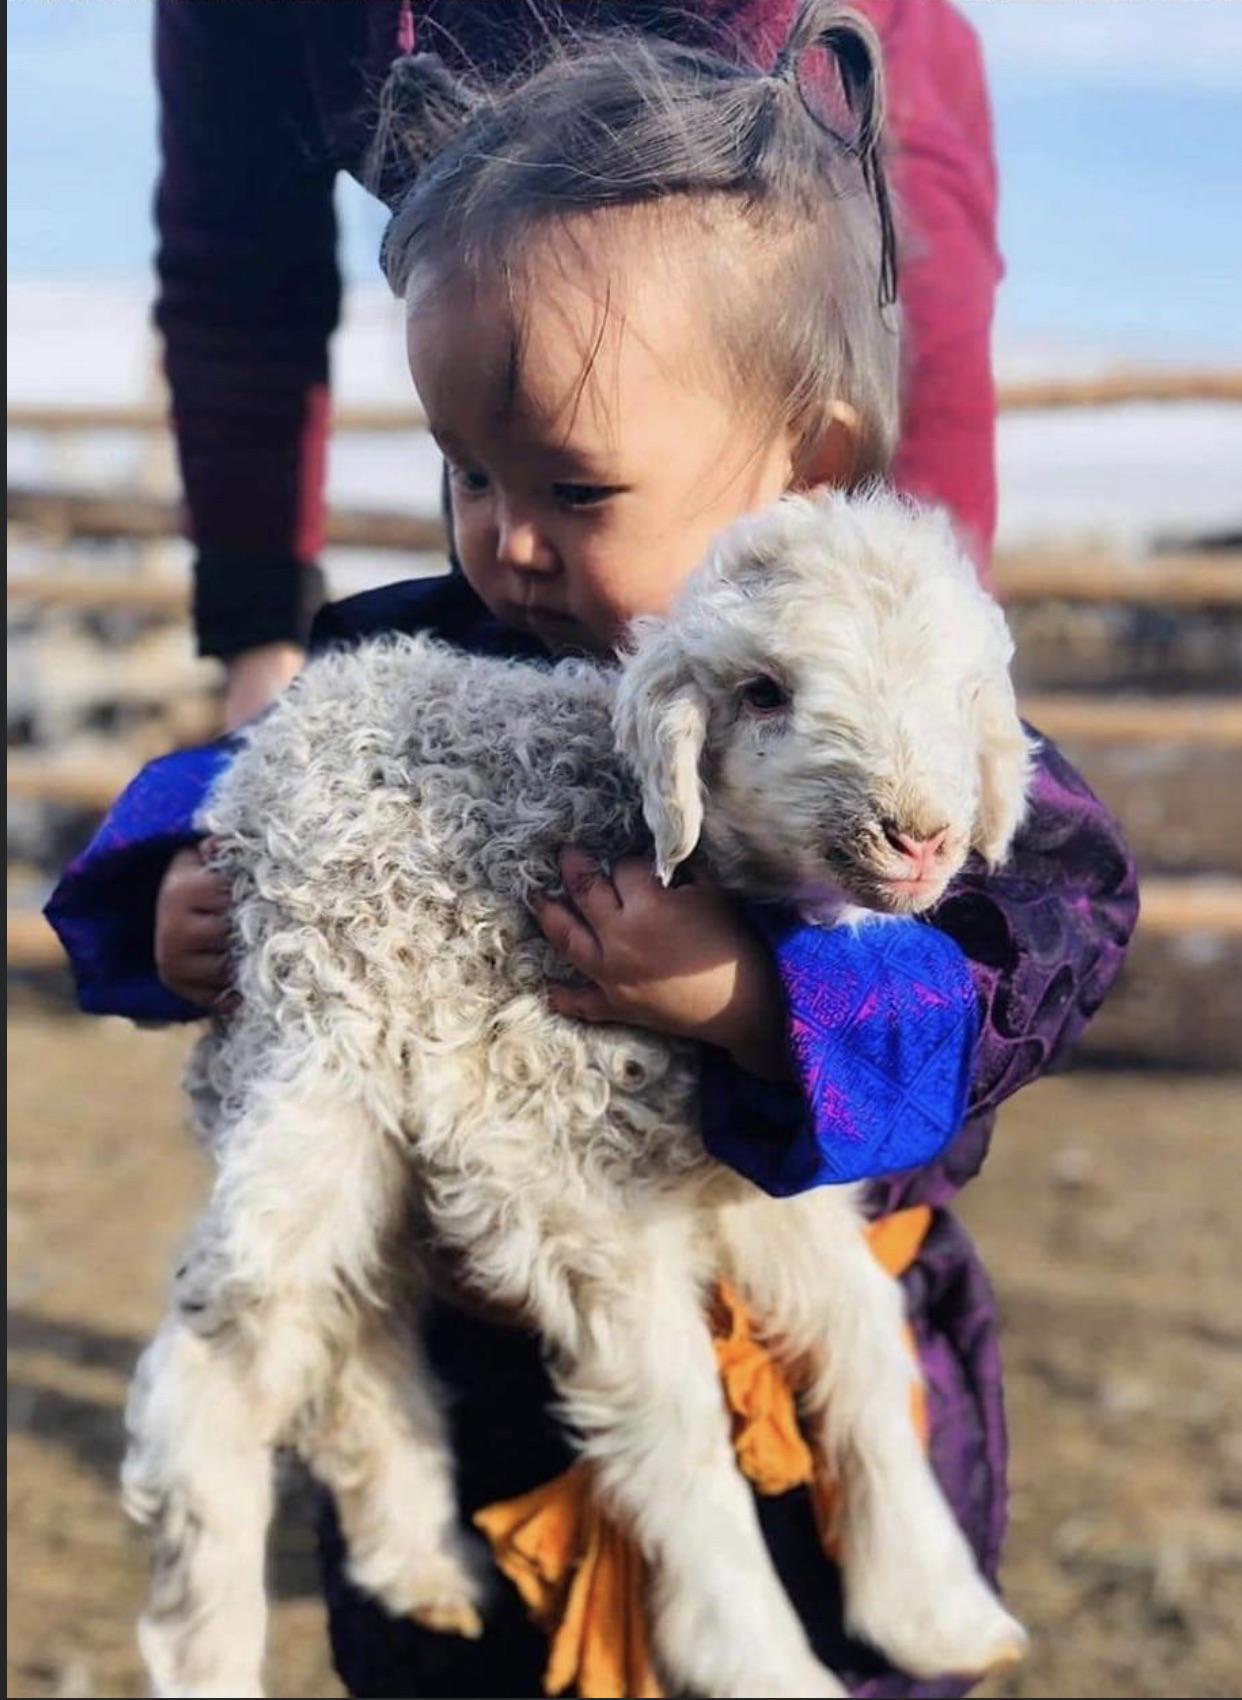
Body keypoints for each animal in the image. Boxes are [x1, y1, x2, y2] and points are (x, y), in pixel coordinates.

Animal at [122, 487, 1033, 1700]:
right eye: (764, 691)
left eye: (960, 688)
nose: (917, 835)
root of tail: (278, 738)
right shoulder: (579, 1189)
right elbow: (678, 1430)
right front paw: (756, 1657)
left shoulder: (747, 1171)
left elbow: (860, 1330)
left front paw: (934, 1607)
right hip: (311, 1077)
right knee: (220, 1371)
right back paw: (214, 1647)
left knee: (361, 1333)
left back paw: (425, 1565)